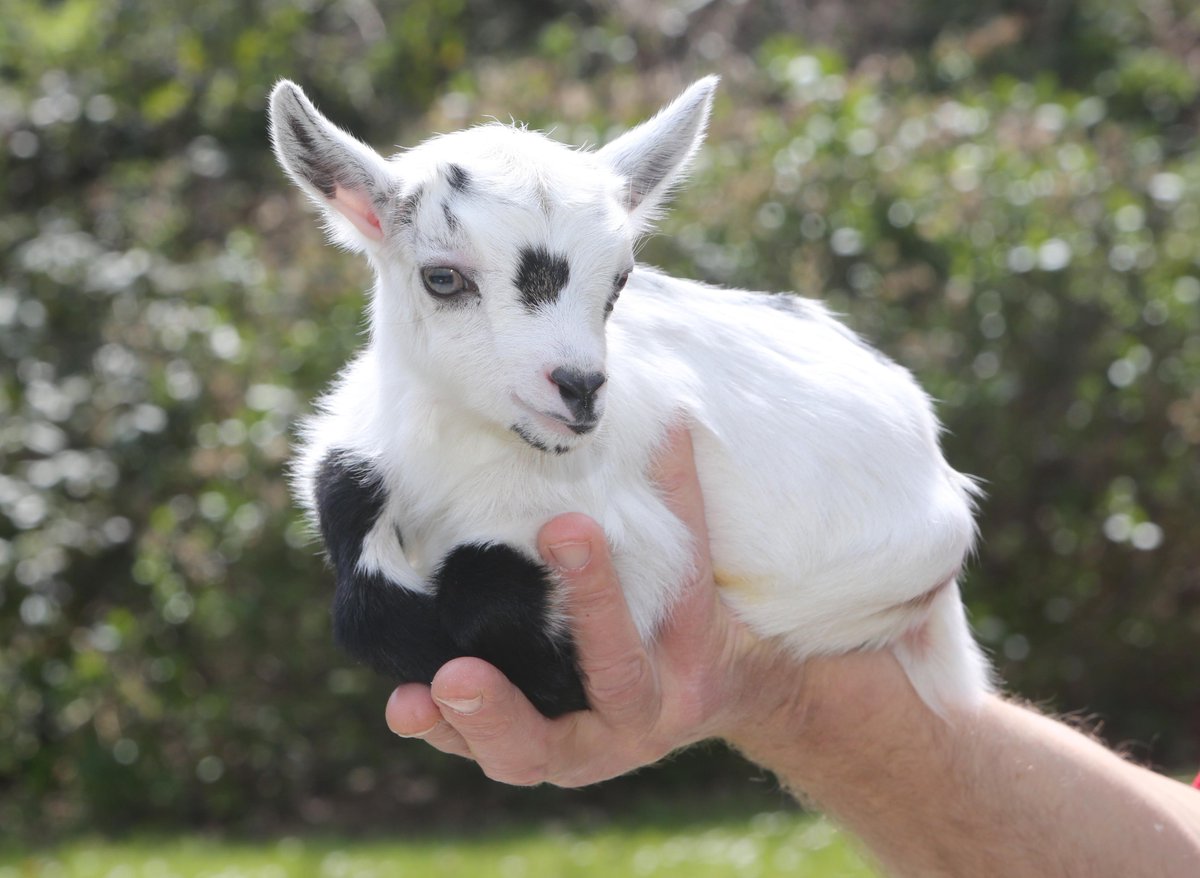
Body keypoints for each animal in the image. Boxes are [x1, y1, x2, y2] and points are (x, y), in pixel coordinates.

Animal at [268, 77, 992, 719]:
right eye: (442, 278)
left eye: (620, 280)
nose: (581, 388)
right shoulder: (348, 470)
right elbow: (363, 609)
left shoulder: (642, 548)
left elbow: (477, 597)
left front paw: (554, 678)